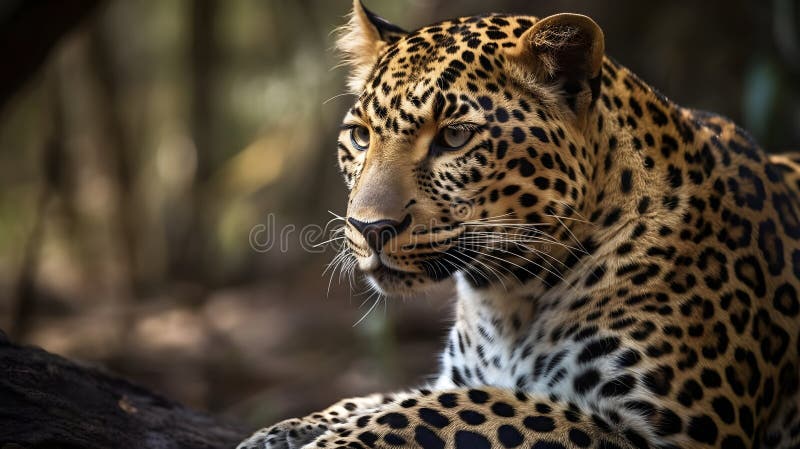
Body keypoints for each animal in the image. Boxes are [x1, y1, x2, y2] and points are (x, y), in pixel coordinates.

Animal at [239, 2, 800, 449]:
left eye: (455, 137)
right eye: (360, 136)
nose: (368, 228)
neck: (507, 299)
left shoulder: (664, 427)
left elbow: (452, 407)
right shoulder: (454, 374)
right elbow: (382, 398)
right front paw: (281, 431)